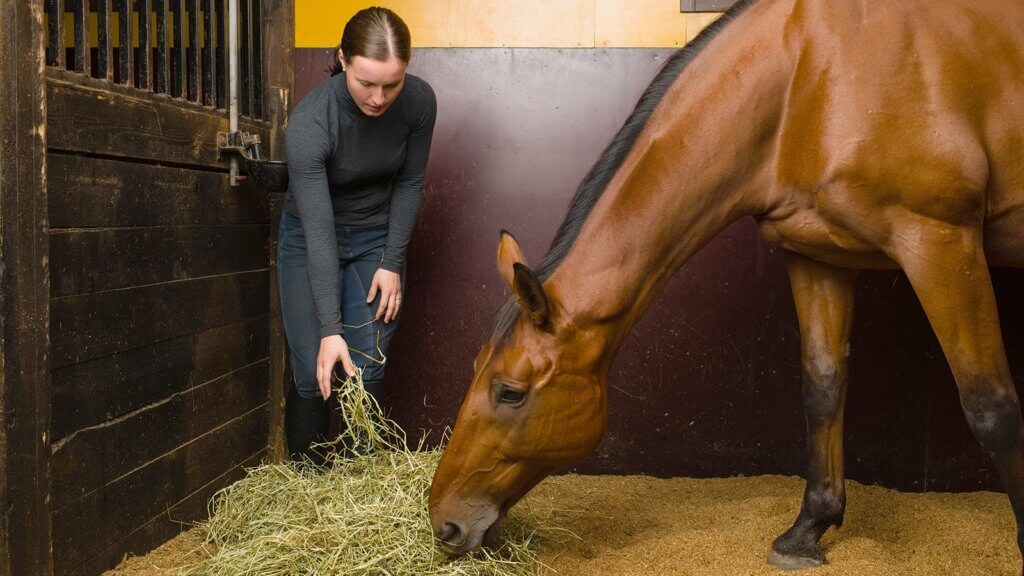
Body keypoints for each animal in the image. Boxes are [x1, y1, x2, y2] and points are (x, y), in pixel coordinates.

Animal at [428, 0, 1024, 570]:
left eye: (510, 391)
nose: (445, 524)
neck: (811, 76)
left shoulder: (941, 242)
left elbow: (992, 409)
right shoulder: (817, 256)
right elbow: (823, 387)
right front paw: (808, 530)